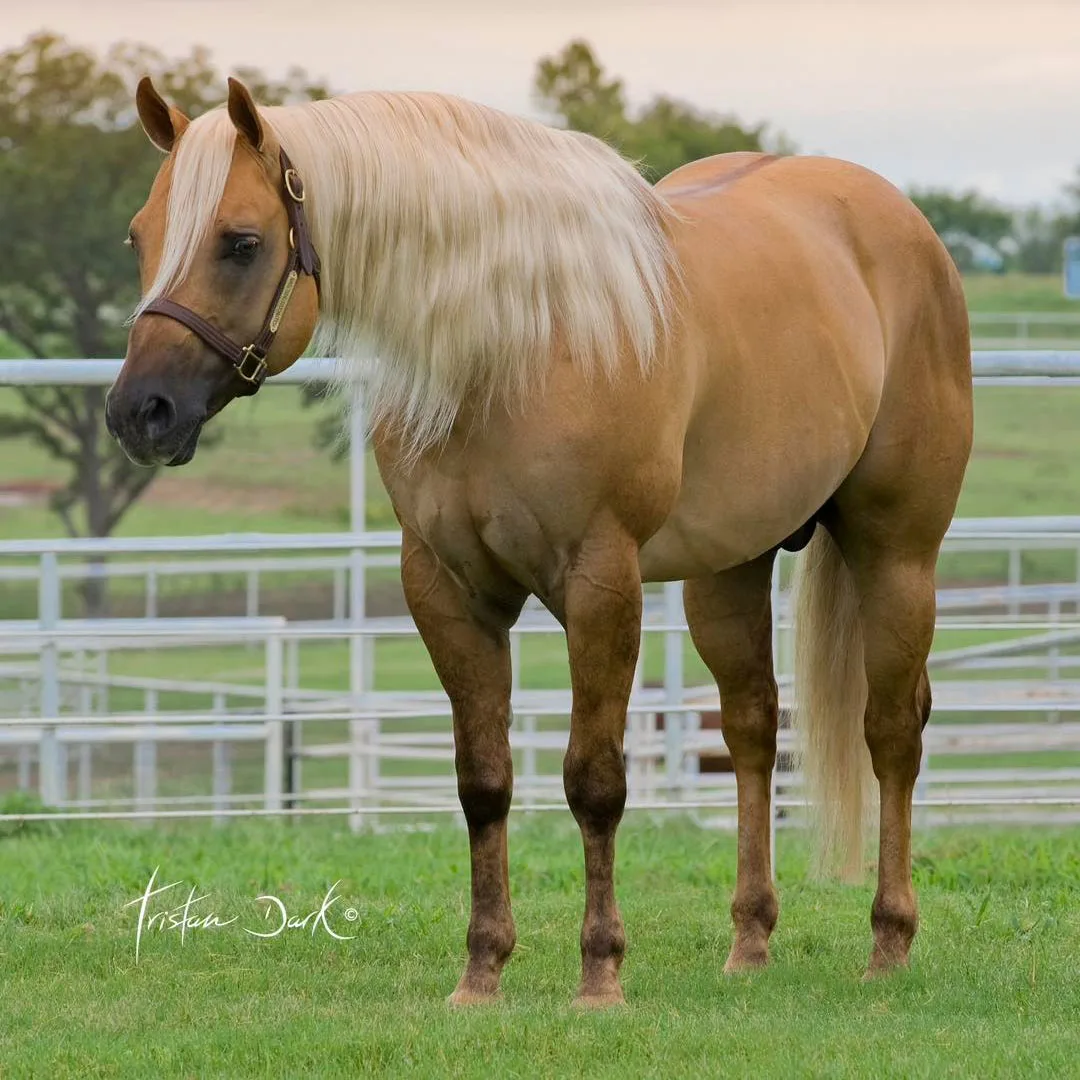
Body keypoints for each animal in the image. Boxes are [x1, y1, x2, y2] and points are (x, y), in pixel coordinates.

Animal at [106, 77, 973, 1006]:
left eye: (240, 243)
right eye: (139, 236)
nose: (138, 412)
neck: (511, 347)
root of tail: (898, 221)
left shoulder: (601, 584)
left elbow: (594, 782)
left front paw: (600, 974)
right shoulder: (448, 592)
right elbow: (484, 783)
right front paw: (481, 972)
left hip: (898, 556)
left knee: (892, 731)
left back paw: (888, 943)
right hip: (728, 572)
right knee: (752, 728)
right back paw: (749, 943)